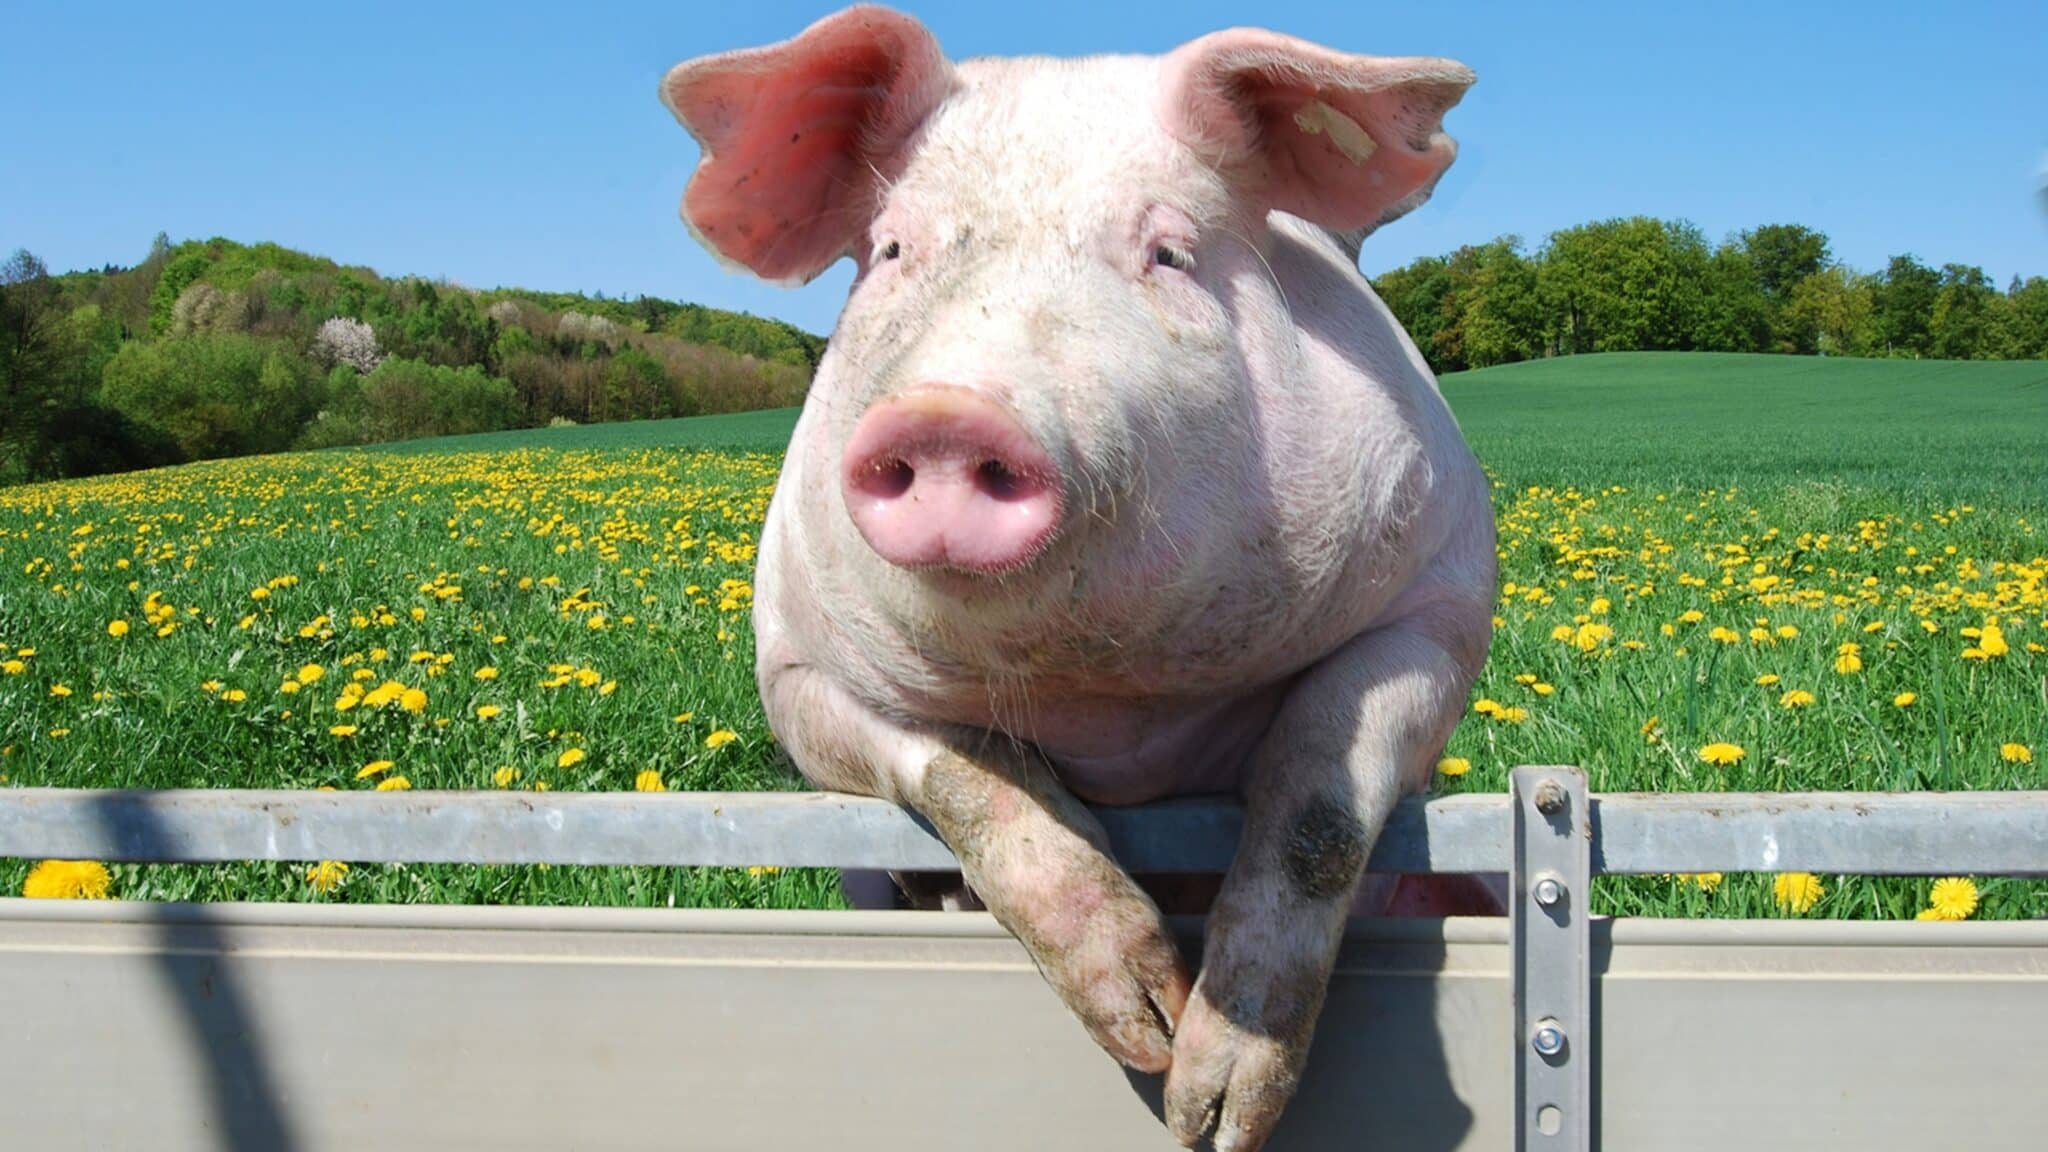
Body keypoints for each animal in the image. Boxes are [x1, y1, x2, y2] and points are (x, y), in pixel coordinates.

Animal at [661, 8, 1495, 1149]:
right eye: (890, 251)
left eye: (1168, 253)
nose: (949, 412)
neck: (1111, 702)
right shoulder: (794, 667)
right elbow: (969, 778)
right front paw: (1147, 1031)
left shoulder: (1442, 594)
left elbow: (1319, 802)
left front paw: (1211, 1113)